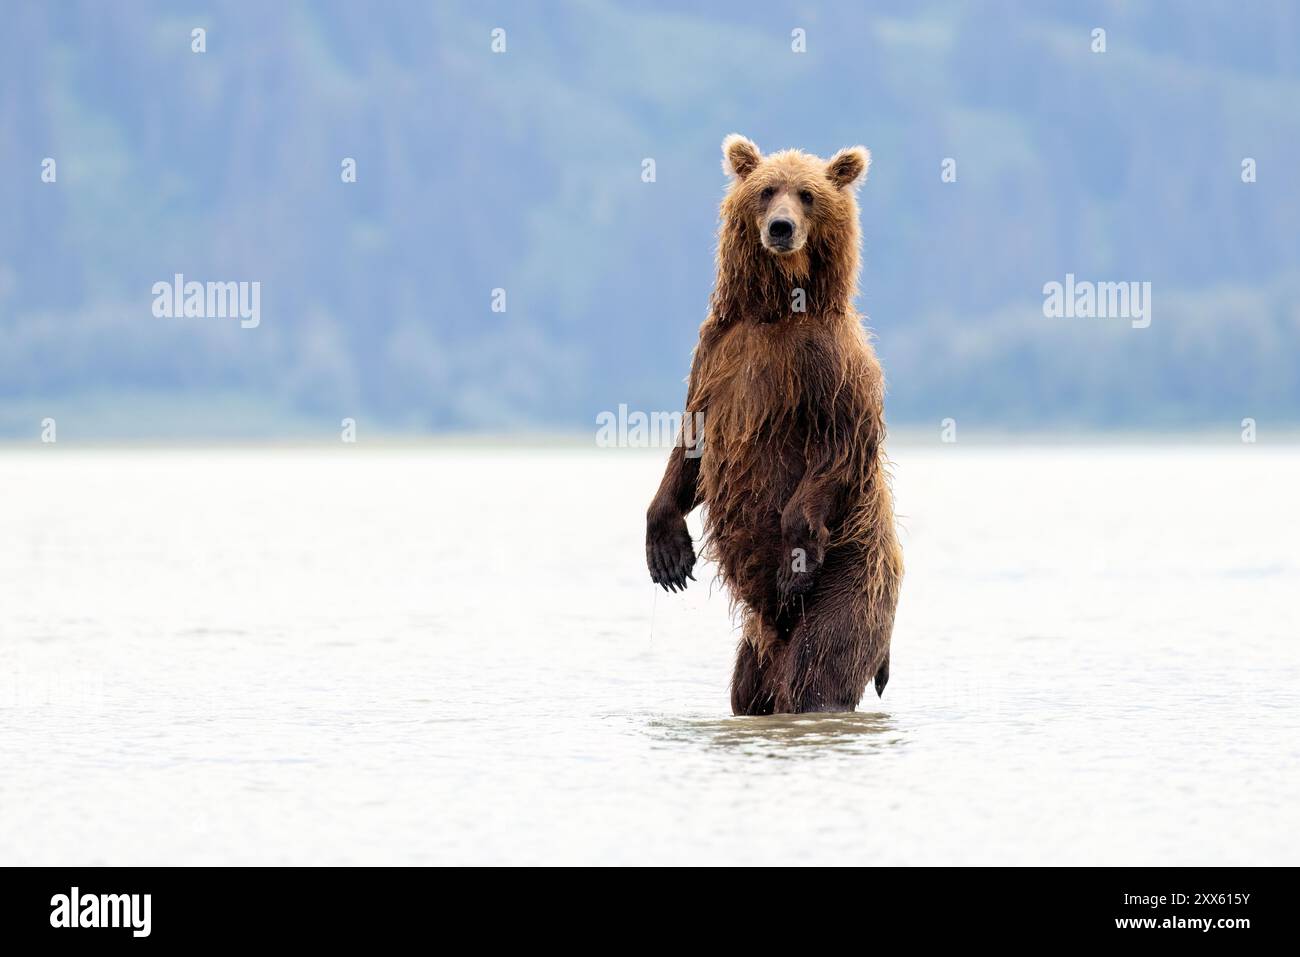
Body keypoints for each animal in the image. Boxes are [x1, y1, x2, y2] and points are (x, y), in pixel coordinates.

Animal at [645, 134, 903, 716]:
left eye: (808, 194)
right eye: (766, 190)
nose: (781, 228)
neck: (778, 308)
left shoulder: (828, 361)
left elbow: (841, 444)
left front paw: (794, 560)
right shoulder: (718, 352)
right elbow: (691, 440)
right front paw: (667, 550)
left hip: (854, 576)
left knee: (819, 670)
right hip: (757, 647)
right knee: (748, 689)